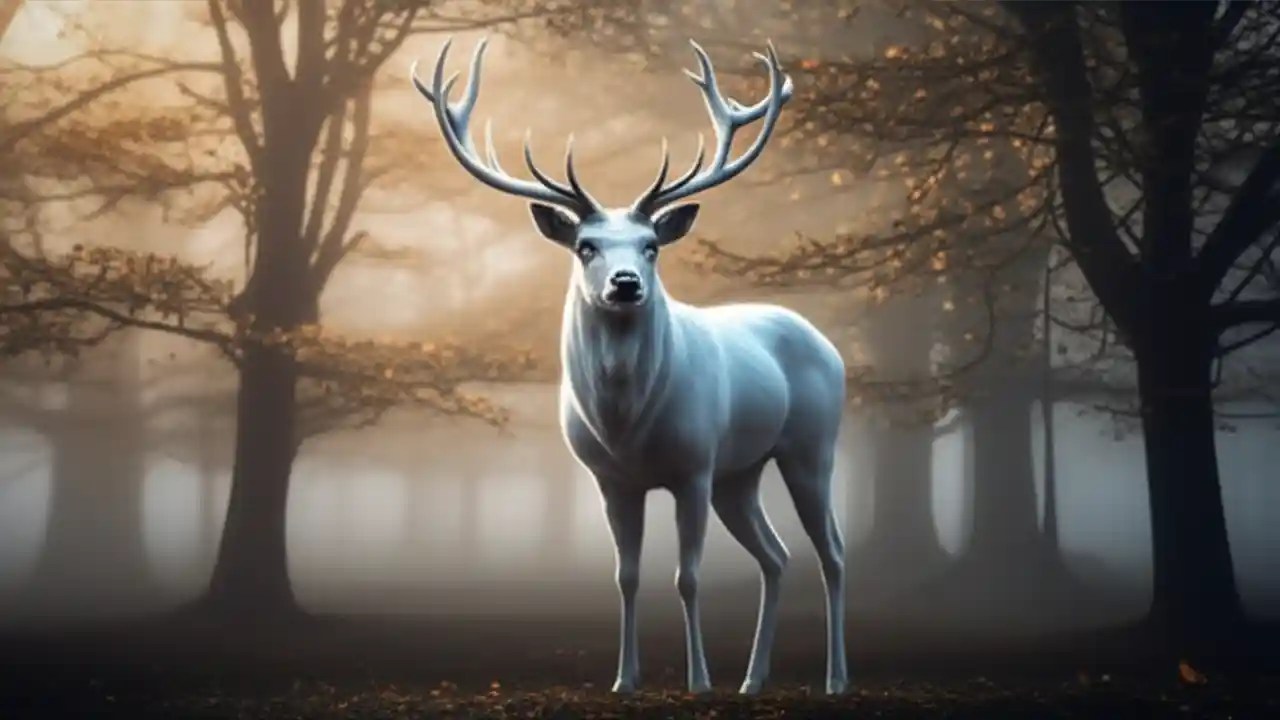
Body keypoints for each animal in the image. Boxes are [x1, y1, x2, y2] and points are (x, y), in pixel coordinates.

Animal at [412, 37, 848, 696]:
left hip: (809, 446)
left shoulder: (693, 467)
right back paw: (753, 680)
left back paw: (834, 680)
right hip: (739, 474)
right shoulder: (610, 478)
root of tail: (828, 343)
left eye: (651, 246)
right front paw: (625, 680)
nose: (624, 284)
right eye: (585, 246)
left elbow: (687, 577)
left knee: (832, 554)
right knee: (776, 556)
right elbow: (627, 576)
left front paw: (698, 681)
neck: (627, 423)